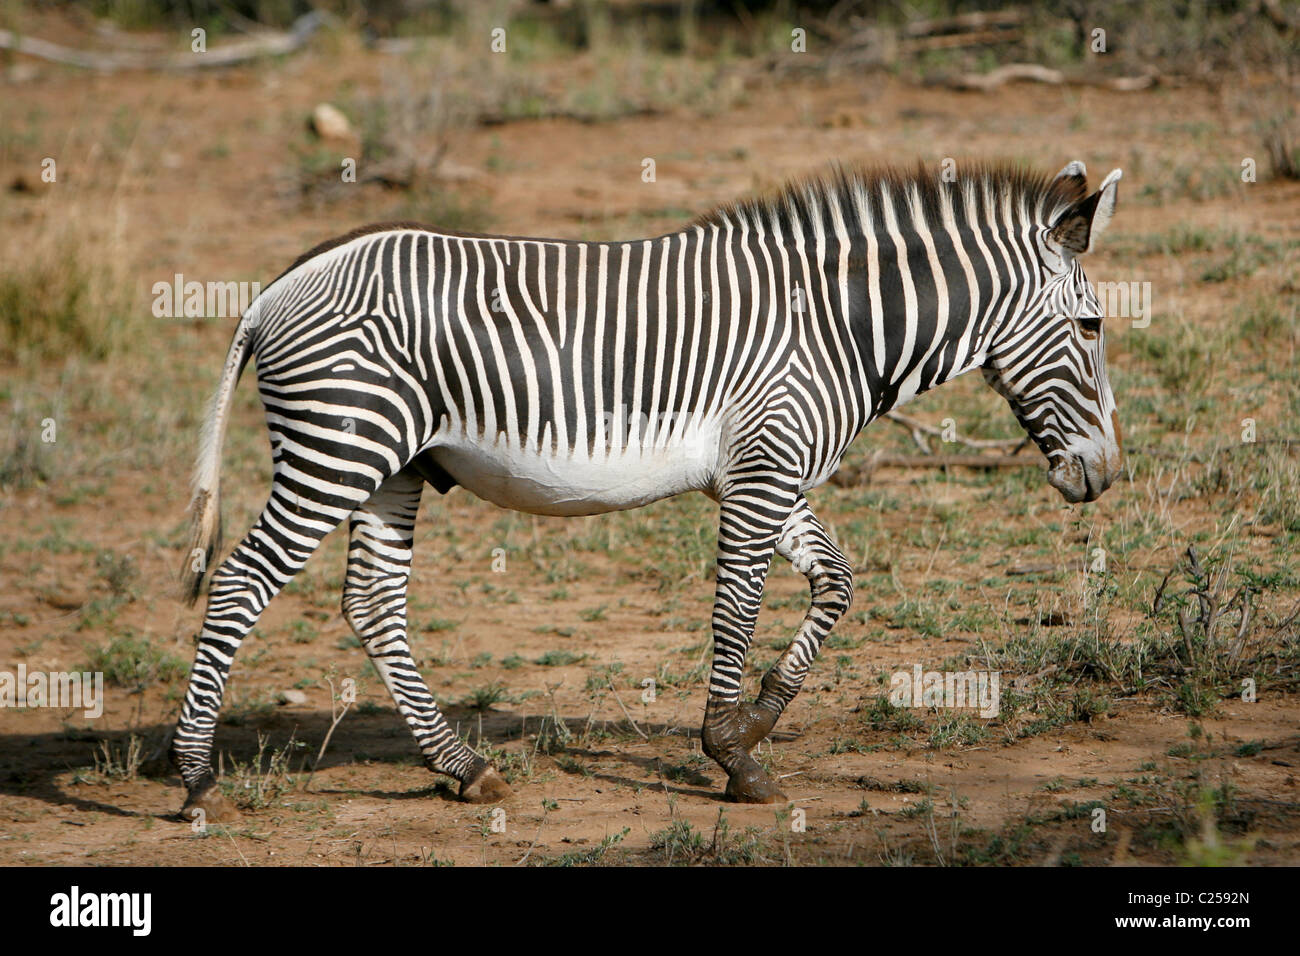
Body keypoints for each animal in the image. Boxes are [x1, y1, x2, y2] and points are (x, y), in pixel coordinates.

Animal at [172, 158, 1123, 821]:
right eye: (1092, 325)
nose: (1107, 474)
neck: (837, 326)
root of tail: (277, 286)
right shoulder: (762, 472)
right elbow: (737, 610)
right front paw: (732, 757)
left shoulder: (760, 471)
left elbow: (837, 583)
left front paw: (757, 723)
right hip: (337, 449)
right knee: (241, 584)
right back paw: (195, 779)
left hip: (390, 467)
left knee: (372, 605)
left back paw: (463, 768)